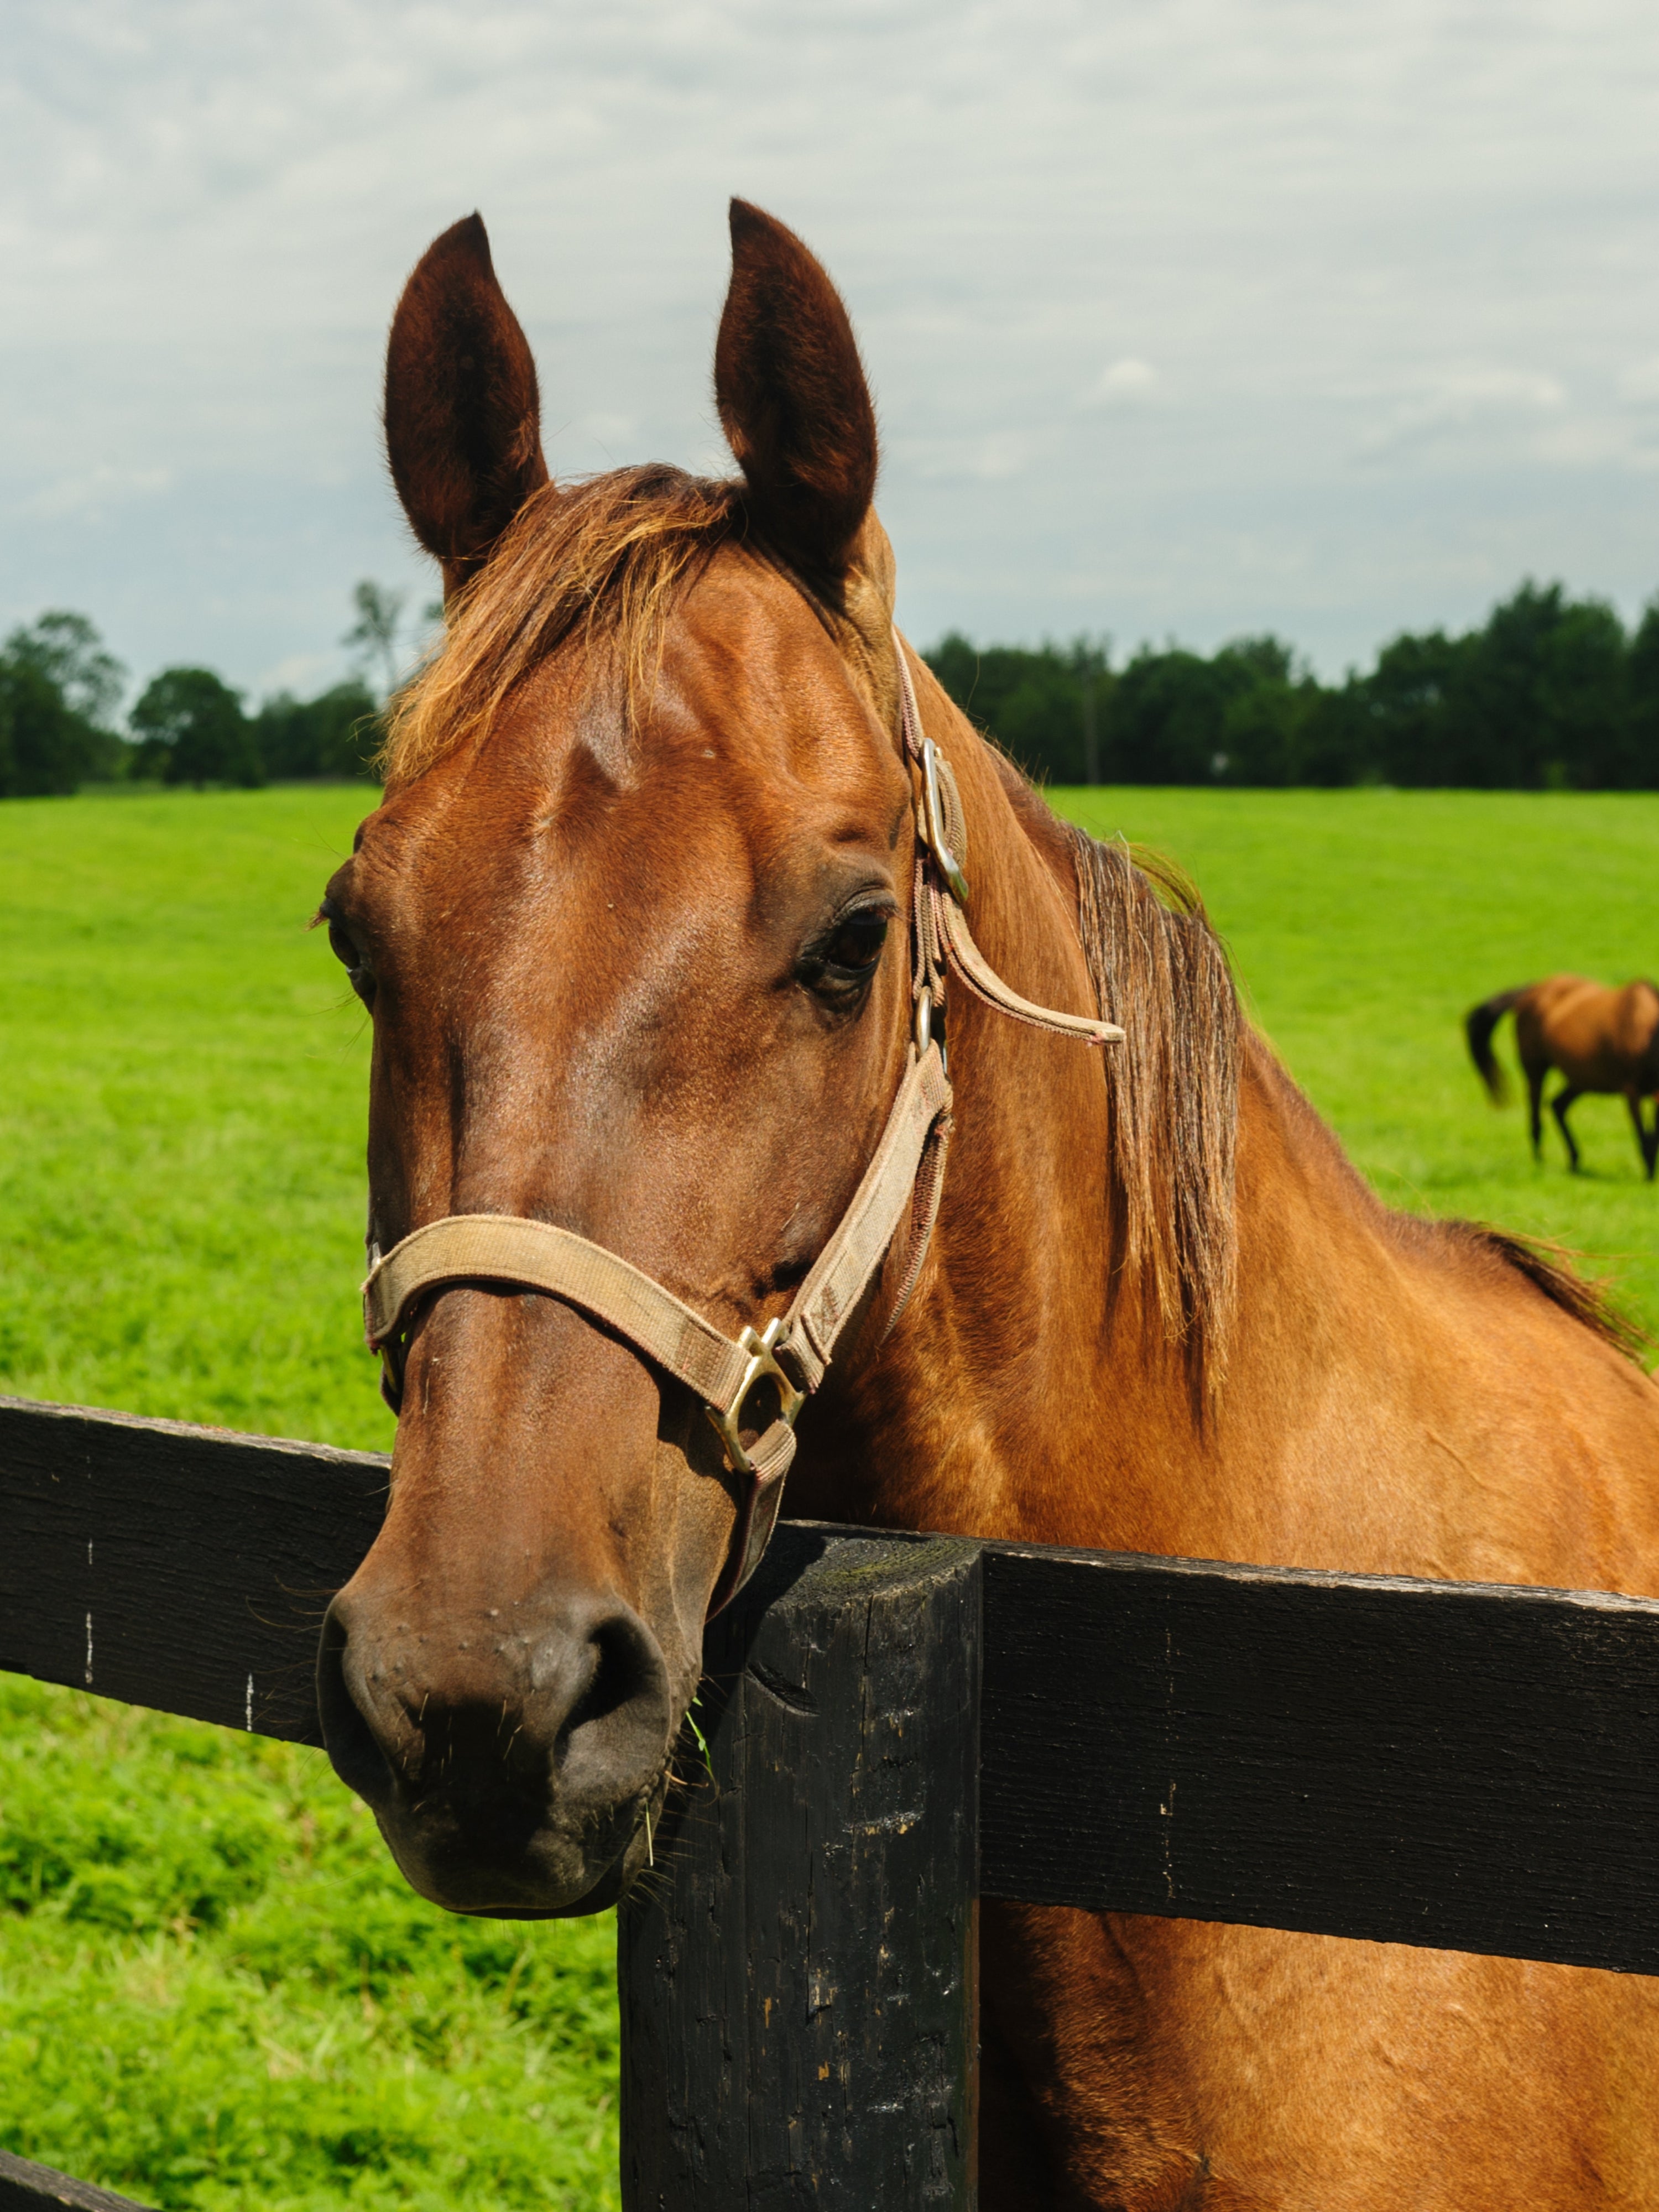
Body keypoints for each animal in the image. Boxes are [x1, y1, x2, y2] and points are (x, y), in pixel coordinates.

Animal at [1468, 975, 1659, 1179]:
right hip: (1536, 1070)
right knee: (1536, 1118)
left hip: (1581, 1080)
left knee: (1558, 1106)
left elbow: (1652, 1140)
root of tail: (1534, 989)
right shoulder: (1632, 1091)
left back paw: (1574, 1160)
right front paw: (1649, 1177)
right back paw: (1540, 1163)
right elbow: (1645, 1141)